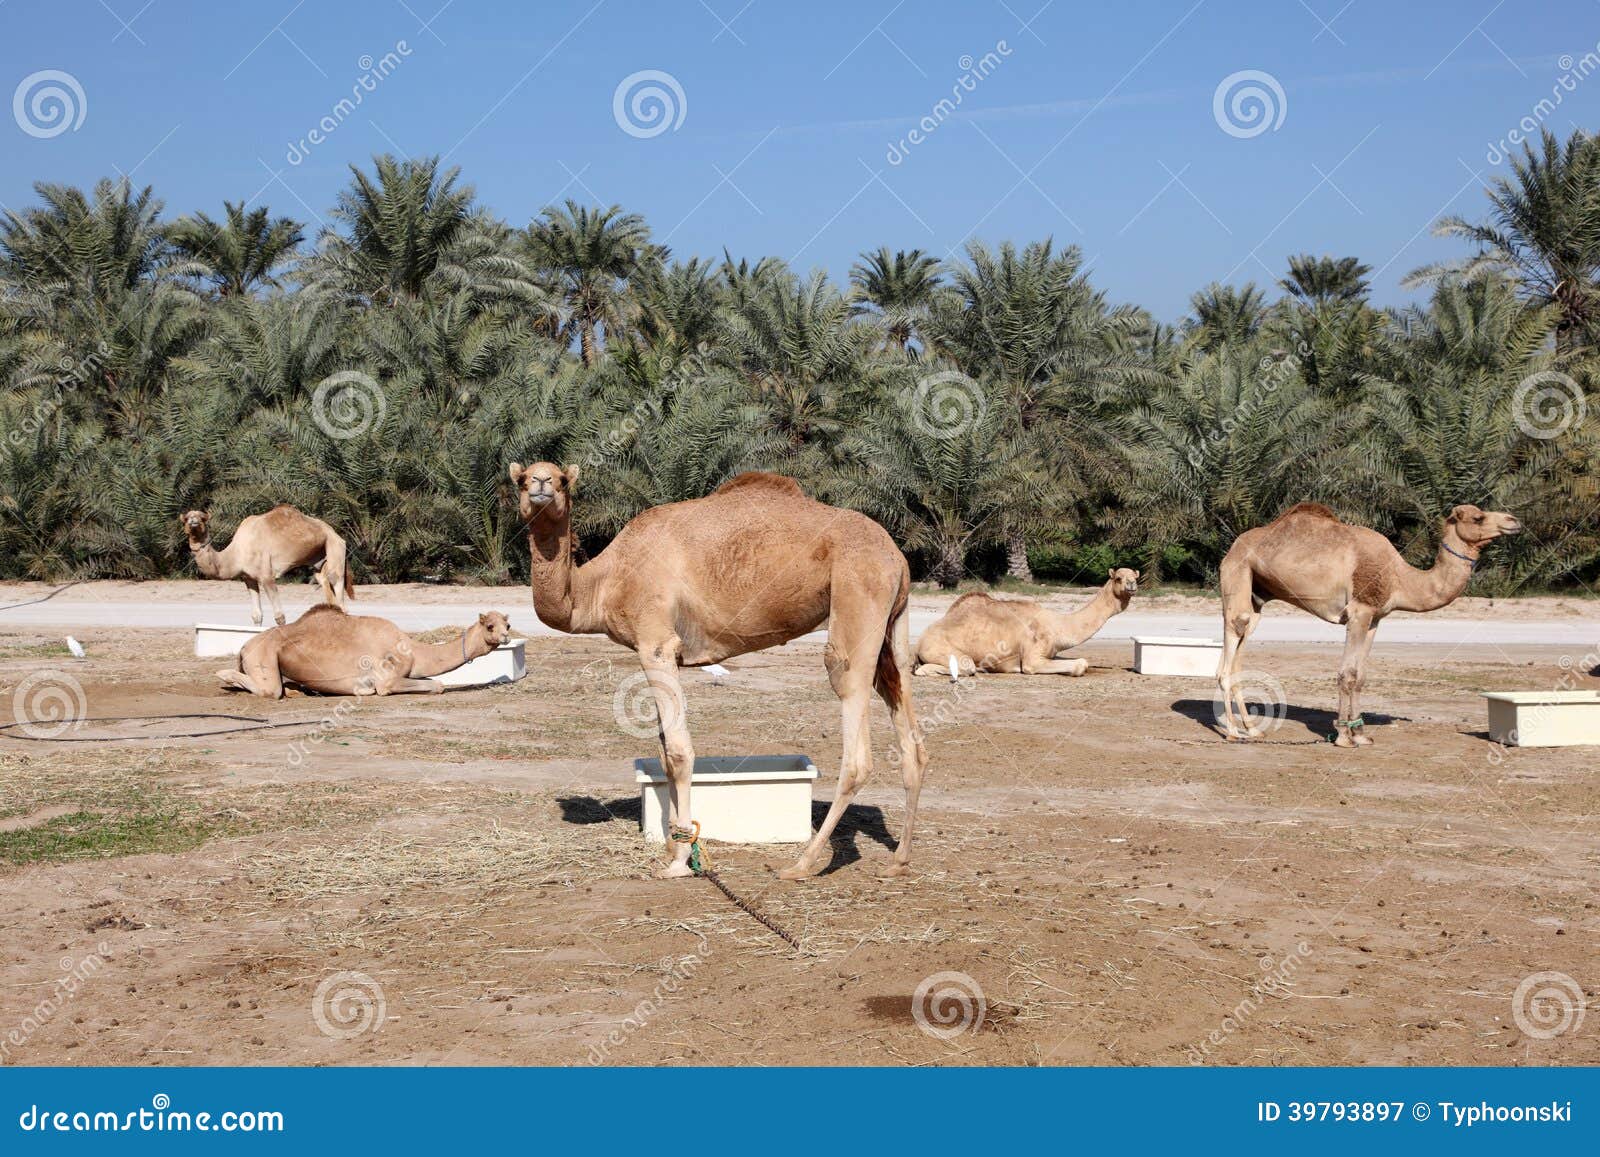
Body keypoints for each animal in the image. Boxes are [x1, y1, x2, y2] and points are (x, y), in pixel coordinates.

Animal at [182, 505, 354, 626]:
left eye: (203, 518)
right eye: (186, 518)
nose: (193, 522)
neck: (237, 552)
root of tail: (336, 534)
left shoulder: (267, 576)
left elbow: (279, 616)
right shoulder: (248, 578)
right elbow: (257, 615)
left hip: (335, 548)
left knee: (338, 590)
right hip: (319, 561)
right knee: (328, 593)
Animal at [217, 605, 510, 698]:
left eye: (507, 624)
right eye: (490, 626)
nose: (506, 636)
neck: (412, 651)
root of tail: (244, 646)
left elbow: (432, 681)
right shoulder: (386, 680)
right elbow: (437, 685)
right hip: (263, 657)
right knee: (269, 689)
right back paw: (224, 675)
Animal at [509, 461, 927, 881]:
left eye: (563, 480)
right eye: (522, 479)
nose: (541, 484)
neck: (603, 583)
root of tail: (897, 557)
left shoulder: (656, 642)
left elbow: (679, 753)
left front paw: (680, 860)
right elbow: (662, 753)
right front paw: (675, 844)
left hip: (856, 596)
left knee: (855, 738)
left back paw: (802, 863)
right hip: (895, 625)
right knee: (910, 731)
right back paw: (899, 859)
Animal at [914, 568, 1140, 677]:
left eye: (1135, 576)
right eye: (1118, 578)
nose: (1131, 585)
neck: (1057, 625)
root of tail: (920, 640)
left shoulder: (1050, 653)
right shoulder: (1033, 658)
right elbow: (1080, 664)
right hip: (941, 648)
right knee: (964, 666)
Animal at [1218, 502, 1521, 746]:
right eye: (1478, 517)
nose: (1513, 521)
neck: (1401, 579)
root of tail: (1231, 548)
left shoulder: (1375, 619)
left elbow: (1361, 676)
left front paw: (1361, 734)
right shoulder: (1358, 612)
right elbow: (1347, 674)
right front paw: (1343, 737)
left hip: (1258, 596)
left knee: (1241, 647)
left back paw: (1252, 730)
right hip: (1238, 575)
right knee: (1231, 648)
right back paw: (1232, 732)